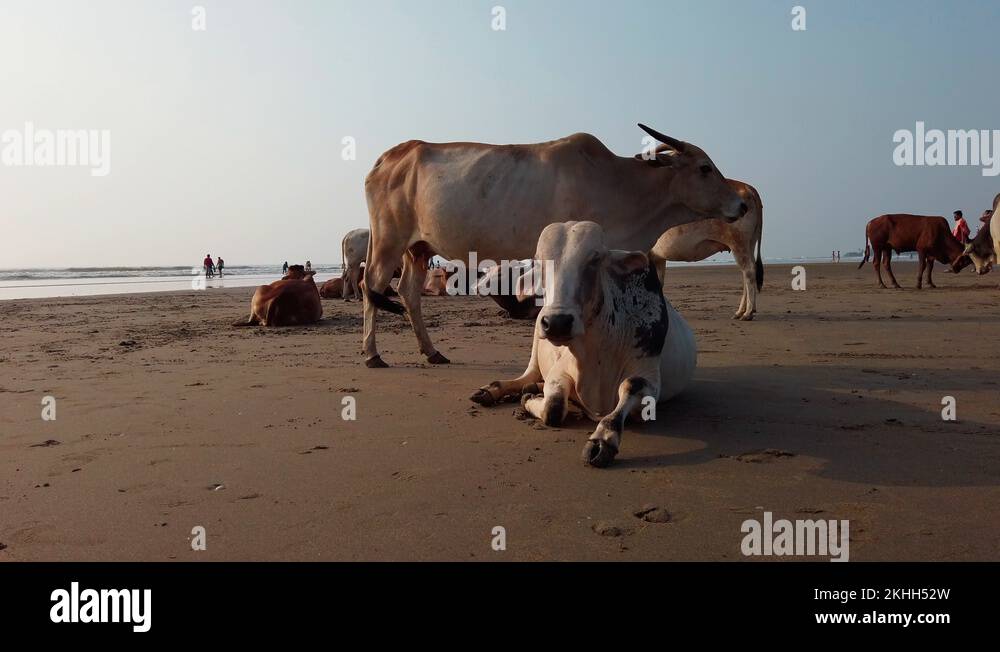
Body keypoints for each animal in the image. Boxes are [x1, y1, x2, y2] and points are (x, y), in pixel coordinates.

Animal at [361, 124, 748, 368]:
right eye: (704, 168)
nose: (741, 205)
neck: (620, 185)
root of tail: (388, 158)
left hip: (419, 248)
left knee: (408, 292)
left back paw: (432, 352)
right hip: (388, 241)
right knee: (373, 286)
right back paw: (372, 354)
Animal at [469, 222, 696, 467]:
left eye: (595, 259)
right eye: (538, 262)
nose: (557, 323)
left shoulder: (649, 375)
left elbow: (630, 387)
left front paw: (602, 439)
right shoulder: (560, 370)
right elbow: (554, 407)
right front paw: (530, 400)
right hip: (536, 347)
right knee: (525, 377)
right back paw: (495, 390)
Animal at [651, 179, 763, 320]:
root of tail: (747, 187)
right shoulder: (658, 257)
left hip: (738, 243)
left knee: (748, 271)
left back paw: (747, 313)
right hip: (749, 244)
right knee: (748, 272)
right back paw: (741, 311)